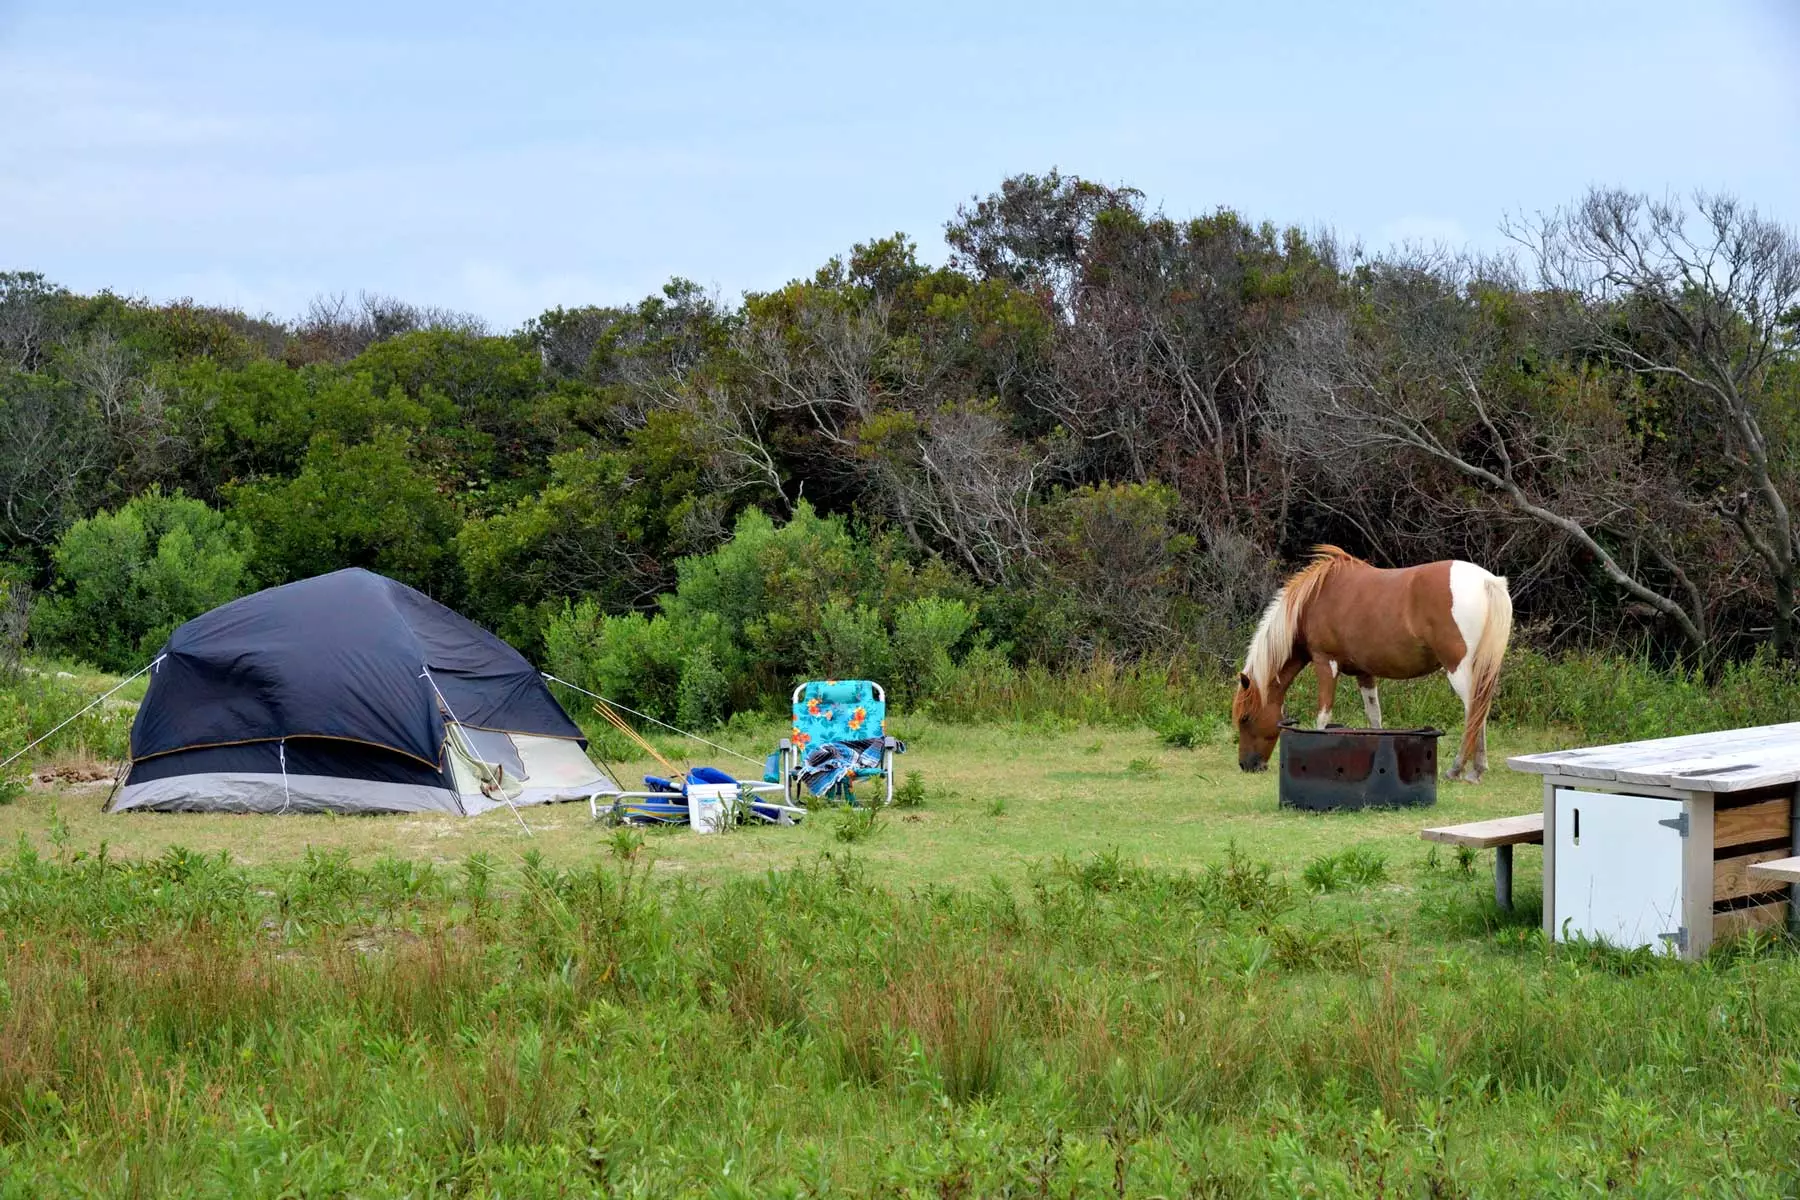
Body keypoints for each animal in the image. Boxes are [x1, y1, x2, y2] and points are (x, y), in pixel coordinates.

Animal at [1231, 550, 1512, 784]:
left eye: (1245, 718)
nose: (1246, 765)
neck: (1312, 601)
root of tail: (1486, 581)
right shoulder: (1364, 673)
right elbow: (1374, 717)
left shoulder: (1325, 663)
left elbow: (1323, 716)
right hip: (1482, 671)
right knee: (1480, 712)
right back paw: (1476, 770)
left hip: (1458, 669)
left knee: (1472, 712)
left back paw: (1457, 769)